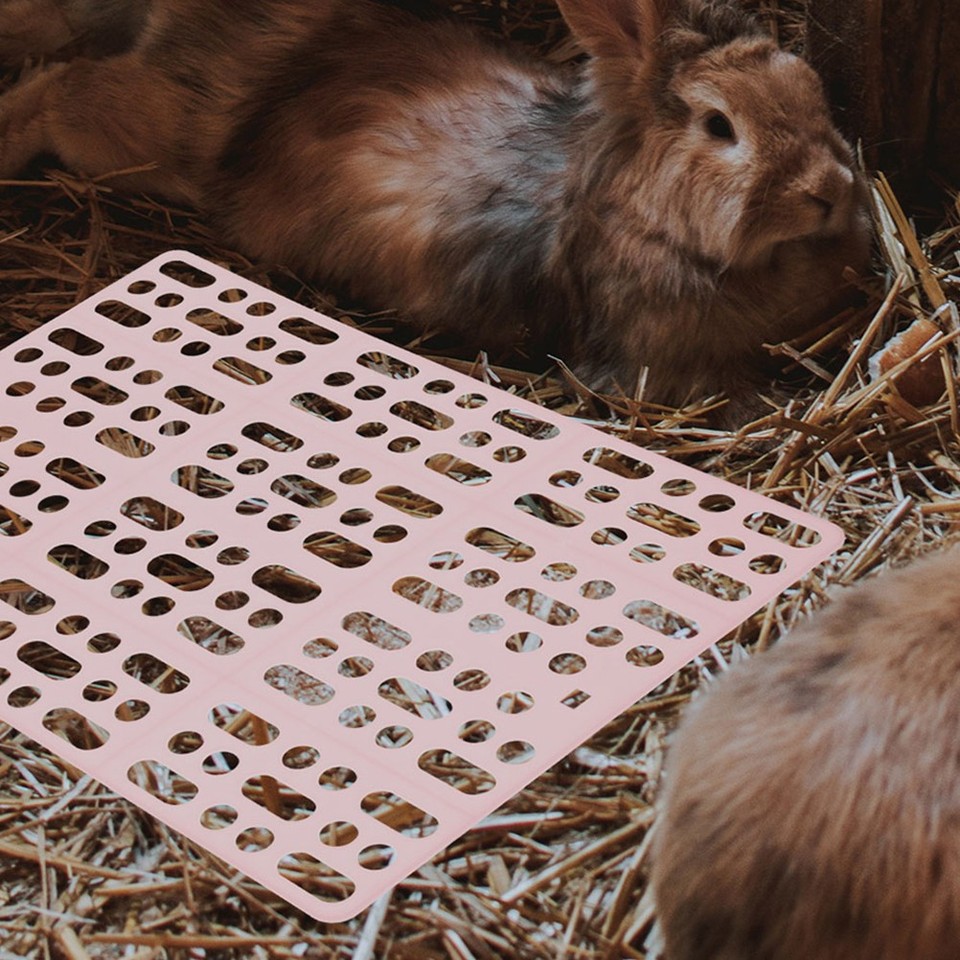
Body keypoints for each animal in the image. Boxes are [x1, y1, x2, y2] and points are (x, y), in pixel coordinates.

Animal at [0, 0, 871, 412]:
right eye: (720, 126)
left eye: (811, 91)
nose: (828, 192)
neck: (642, 215)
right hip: (139, 136)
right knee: (57, 88)